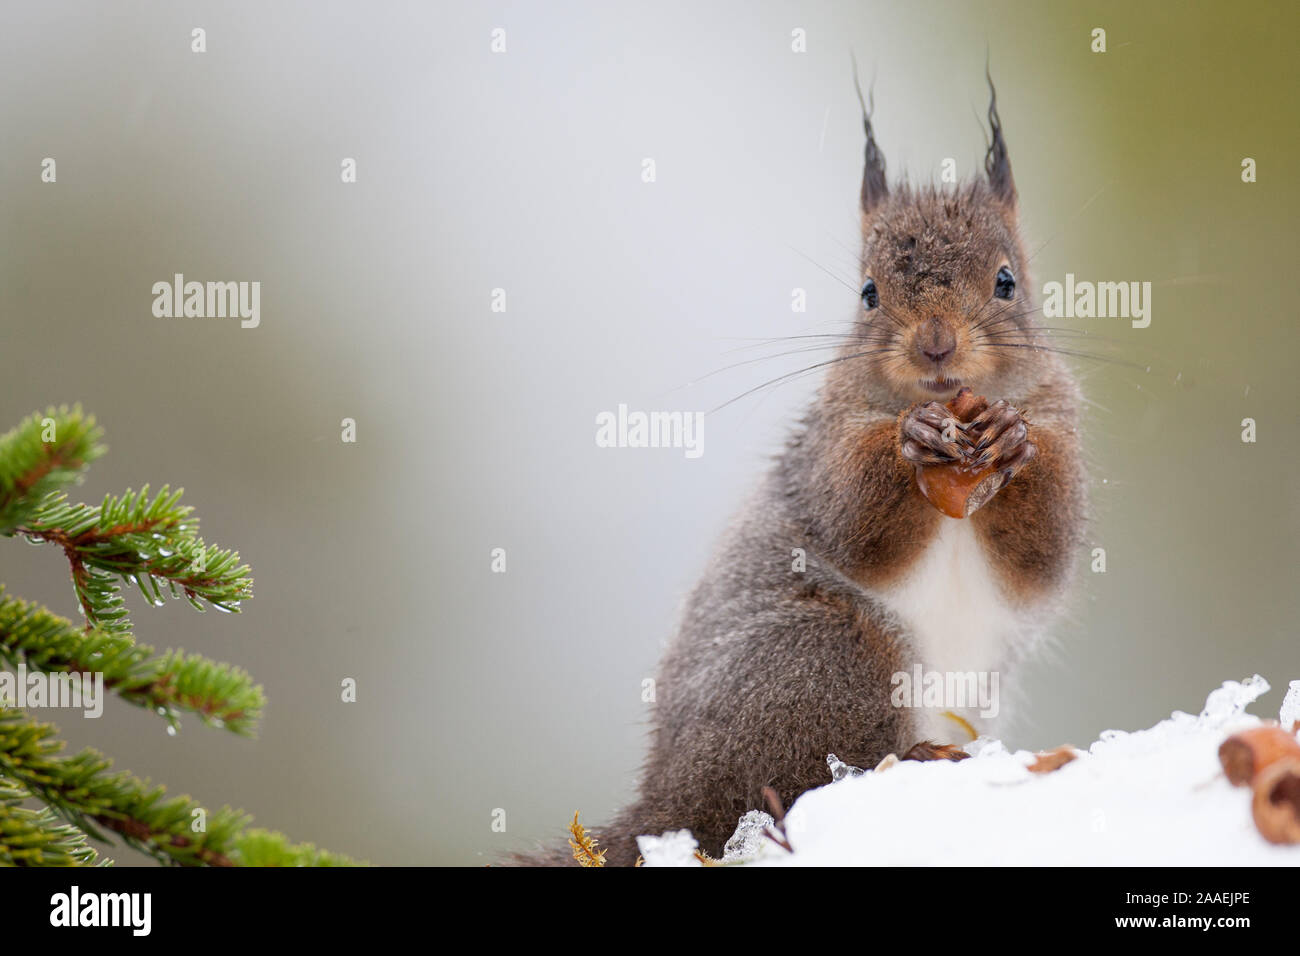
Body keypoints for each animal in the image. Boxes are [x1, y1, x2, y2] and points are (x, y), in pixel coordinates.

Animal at [512, 79, 1086, 866]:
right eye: (868, 293)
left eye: (1006, 282)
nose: (936, 345)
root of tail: (662, 803)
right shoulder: (824, 449)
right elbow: (857, 526)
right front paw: (907, 440)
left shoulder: (1066, 427)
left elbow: (1041, 554)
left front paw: (1013, 437)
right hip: (828, 655)